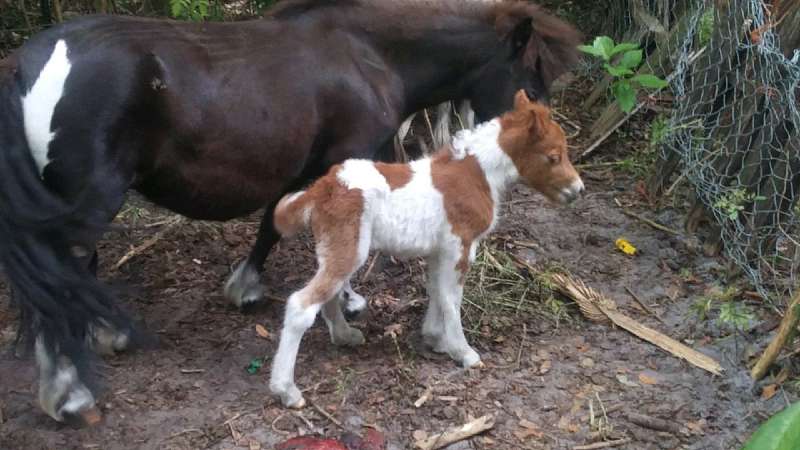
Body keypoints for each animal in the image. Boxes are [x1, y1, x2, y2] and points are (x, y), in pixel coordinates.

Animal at [0, 0, 580, 424]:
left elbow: (272, 228)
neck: (368, 55)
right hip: (85, 204)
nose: (562, 170)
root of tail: (24, 66)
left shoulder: (306, 175)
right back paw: (68, 391)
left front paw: (252, 288)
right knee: (58, 285)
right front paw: (344, 305)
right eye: (532, 79)